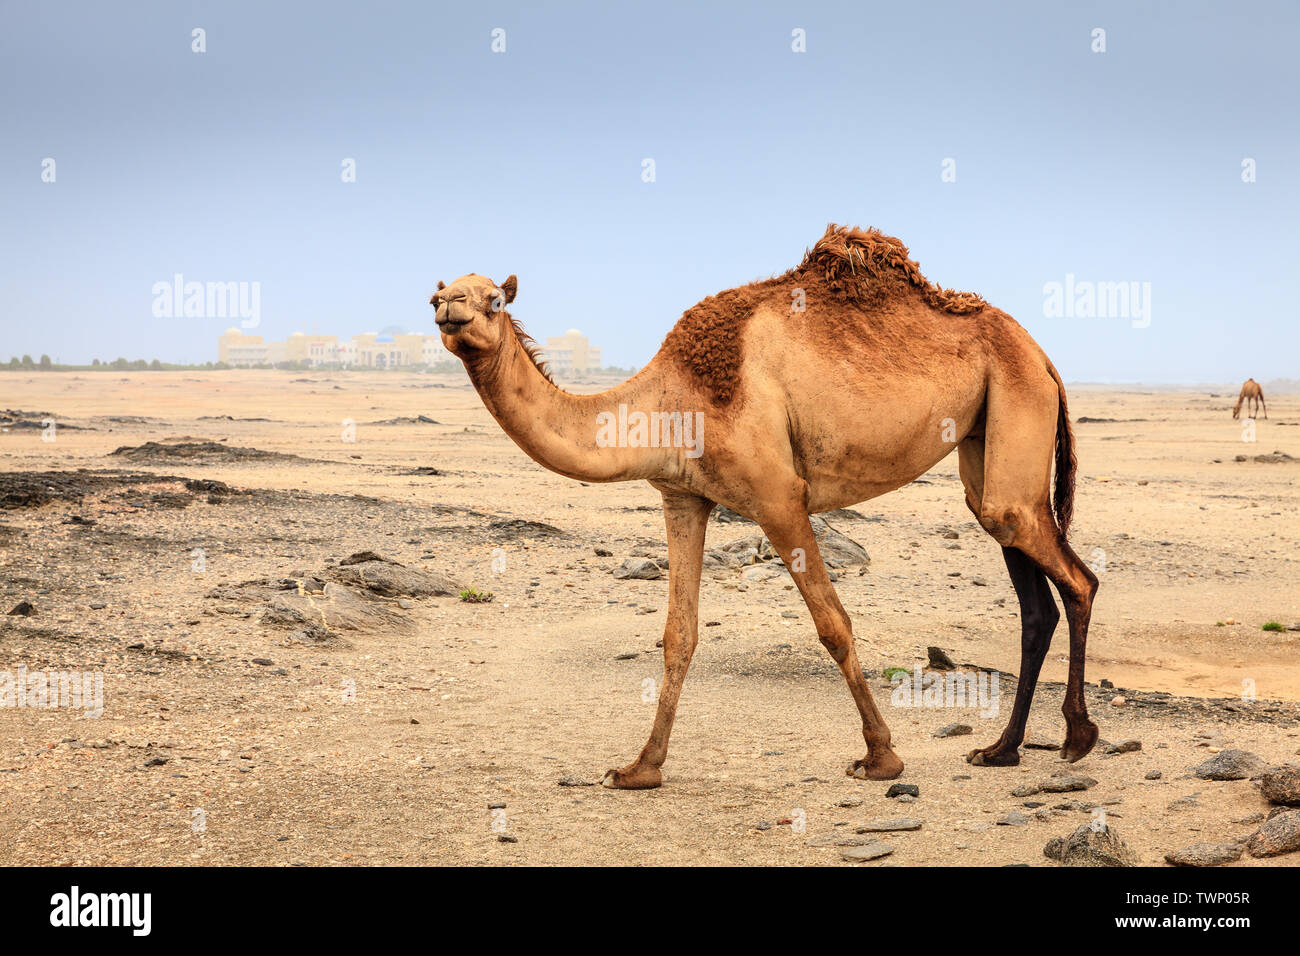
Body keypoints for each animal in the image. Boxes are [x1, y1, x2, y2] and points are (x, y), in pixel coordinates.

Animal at [431, 224, 1099, 789]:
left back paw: (1077, 738)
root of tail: (1043, 356)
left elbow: (833, 625)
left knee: (1076, 576)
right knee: (1026, 580)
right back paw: (1002, 749)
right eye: (440, 291)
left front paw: (880, 757)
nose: (447, 305)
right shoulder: (684, 497)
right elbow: (678, 634)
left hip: (1016, 397)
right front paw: (641, 767)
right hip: (987, 440)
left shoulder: (778, 497)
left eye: (493, 299)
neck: (673, 398)